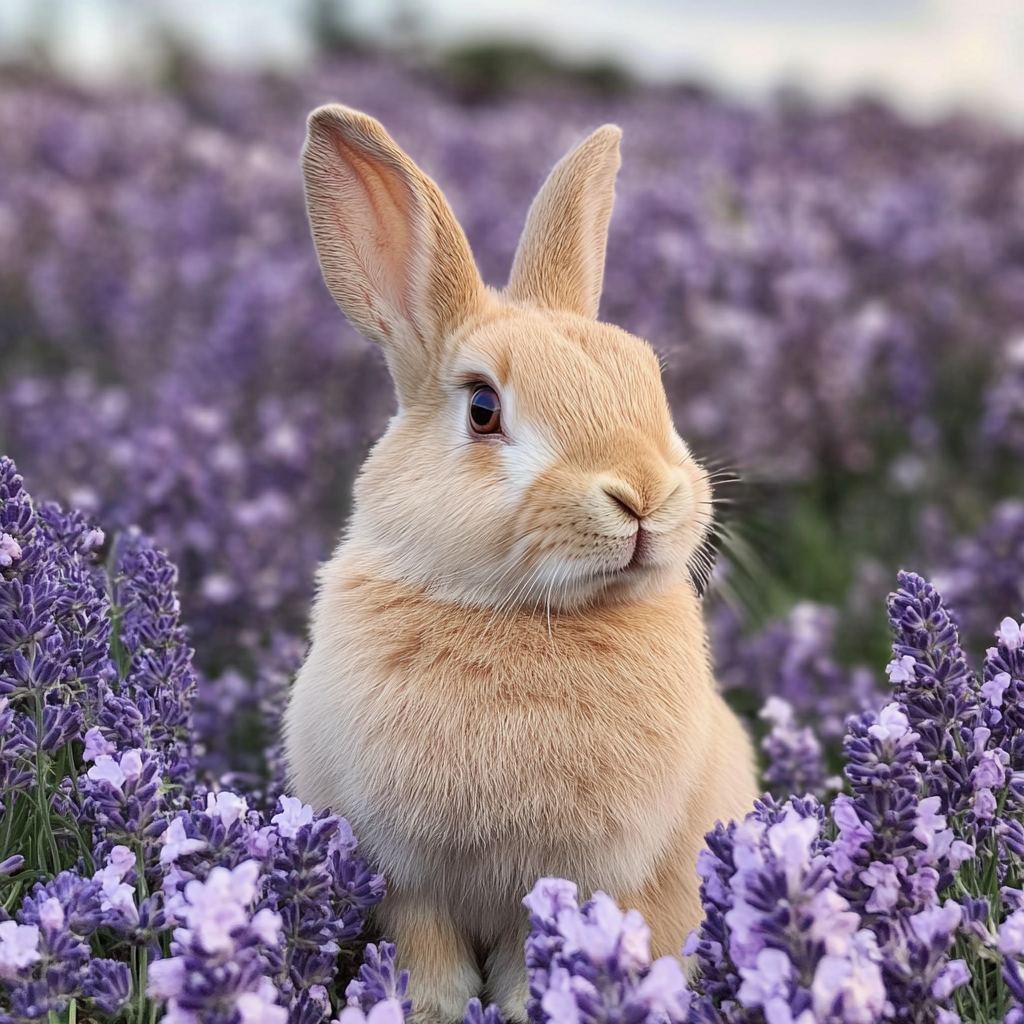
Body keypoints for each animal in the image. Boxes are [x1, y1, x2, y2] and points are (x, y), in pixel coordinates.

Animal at [283, 104, 758, 1024]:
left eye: (648, 380)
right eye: (482, 408)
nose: (644, 495)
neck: (517, 611)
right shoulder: (412, 884)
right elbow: (428, 967)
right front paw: (428, 1009)